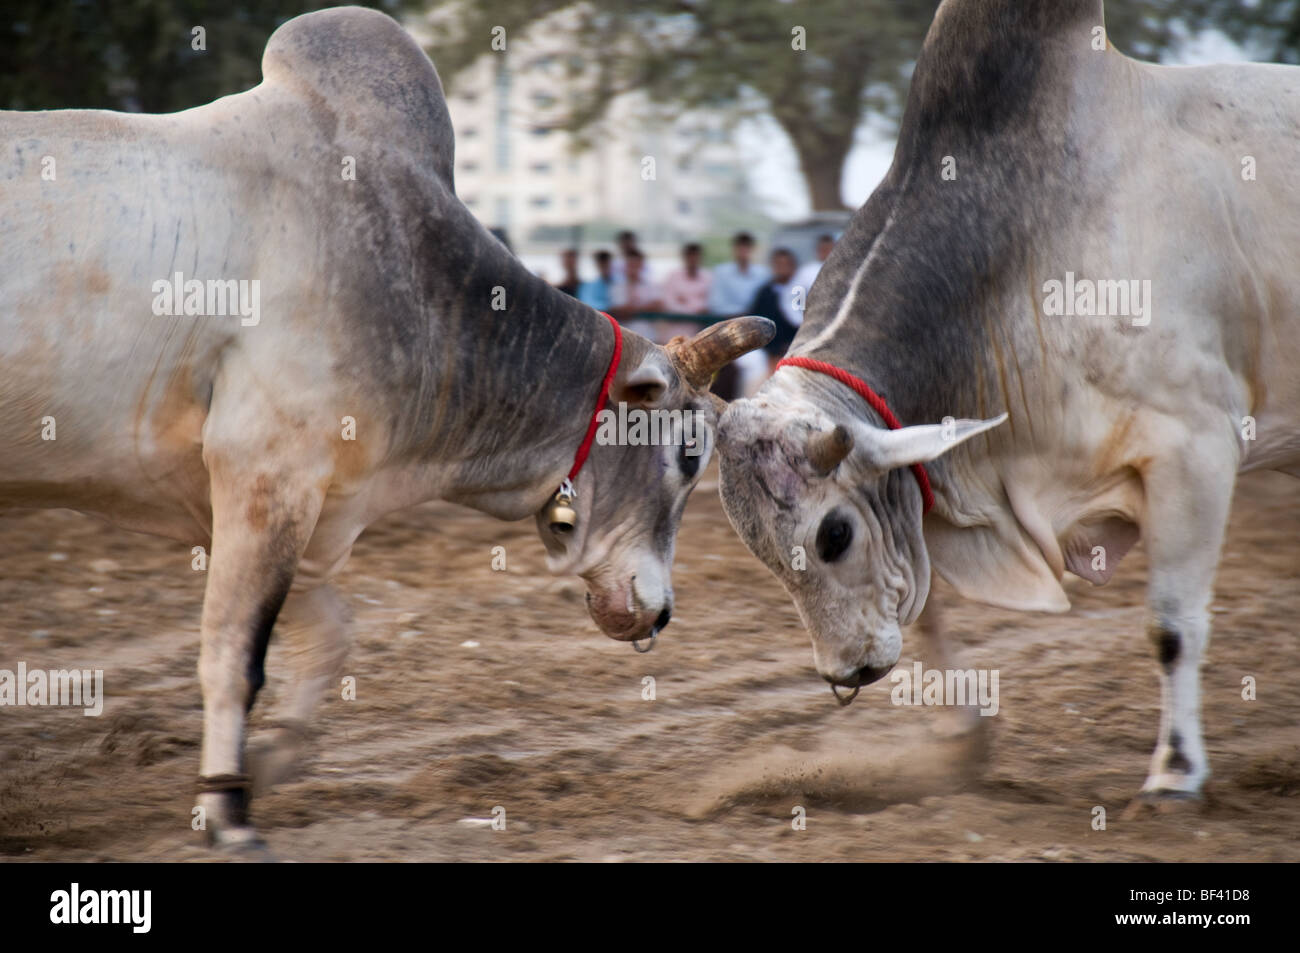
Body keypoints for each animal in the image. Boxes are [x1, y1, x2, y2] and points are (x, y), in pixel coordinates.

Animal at [0, 6, 772, 846]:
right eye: (690, 454)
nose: (661, 613)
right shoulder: (267, 475)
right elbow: (234, 651)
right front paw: (226, 809)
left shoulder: (278, 506)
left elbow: (330, 637)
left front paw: (265, 765)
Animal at [716, 0, 1300, 810]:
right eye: (763, 554)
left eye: (834, 534)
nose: (845, 671)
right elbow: (923, 604)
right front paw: (959, 740)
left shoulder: (1196, 451)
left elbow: (1173, 626)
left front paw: (1174, 771)